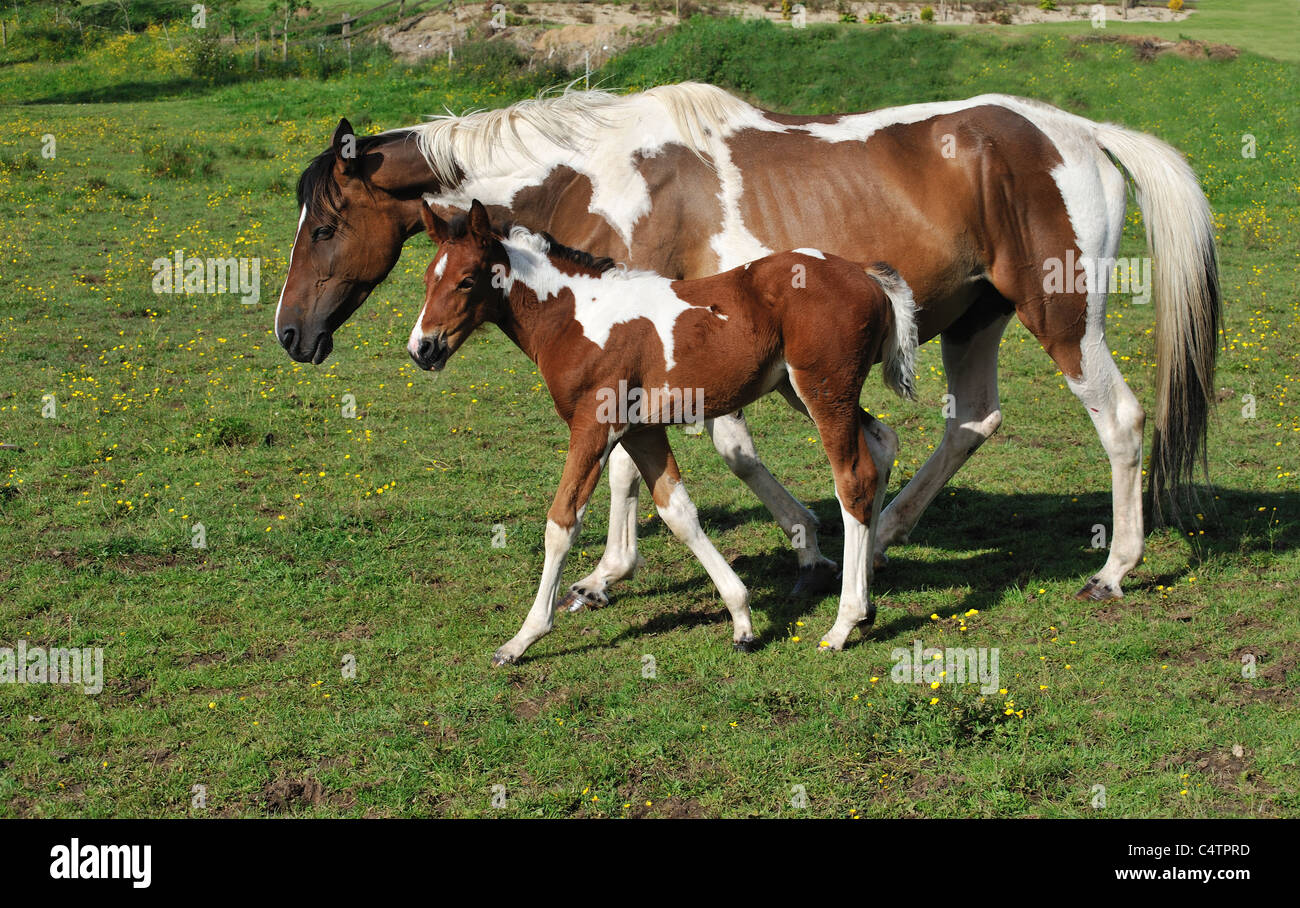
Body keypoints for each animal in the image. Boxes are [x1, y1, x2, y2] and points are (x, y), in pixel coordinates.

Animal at [275, 82, 1220, 608]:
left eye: (324, 226)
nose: (291, 333)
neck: (597, 173)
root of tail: (1083, 133)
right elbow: (705, 454)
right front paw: (806, 549)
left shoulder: (644, 341)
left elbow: (644, 468)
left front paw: (606, 575)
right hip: (975, 319)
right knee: (972, 423)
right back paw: (879, 539)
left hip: (1062, 319)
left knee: (1120, 421)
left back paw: (1115, 569)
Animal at [408, 199, 918, 665]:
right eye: (428, 278)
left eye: (467, 280)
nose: (422, 348)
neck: (577, 317)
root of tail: (866, 274)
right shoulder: (640, 431)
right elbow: (677, 512)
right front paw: (742, 620)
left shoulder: (593, 426)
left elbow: (562, 522)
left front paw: (522, 639)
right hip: (800, 389)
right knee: (882, 444)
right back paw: (867, 592)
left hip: (823, 390)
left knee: (854, 480)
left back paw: (845, 622)